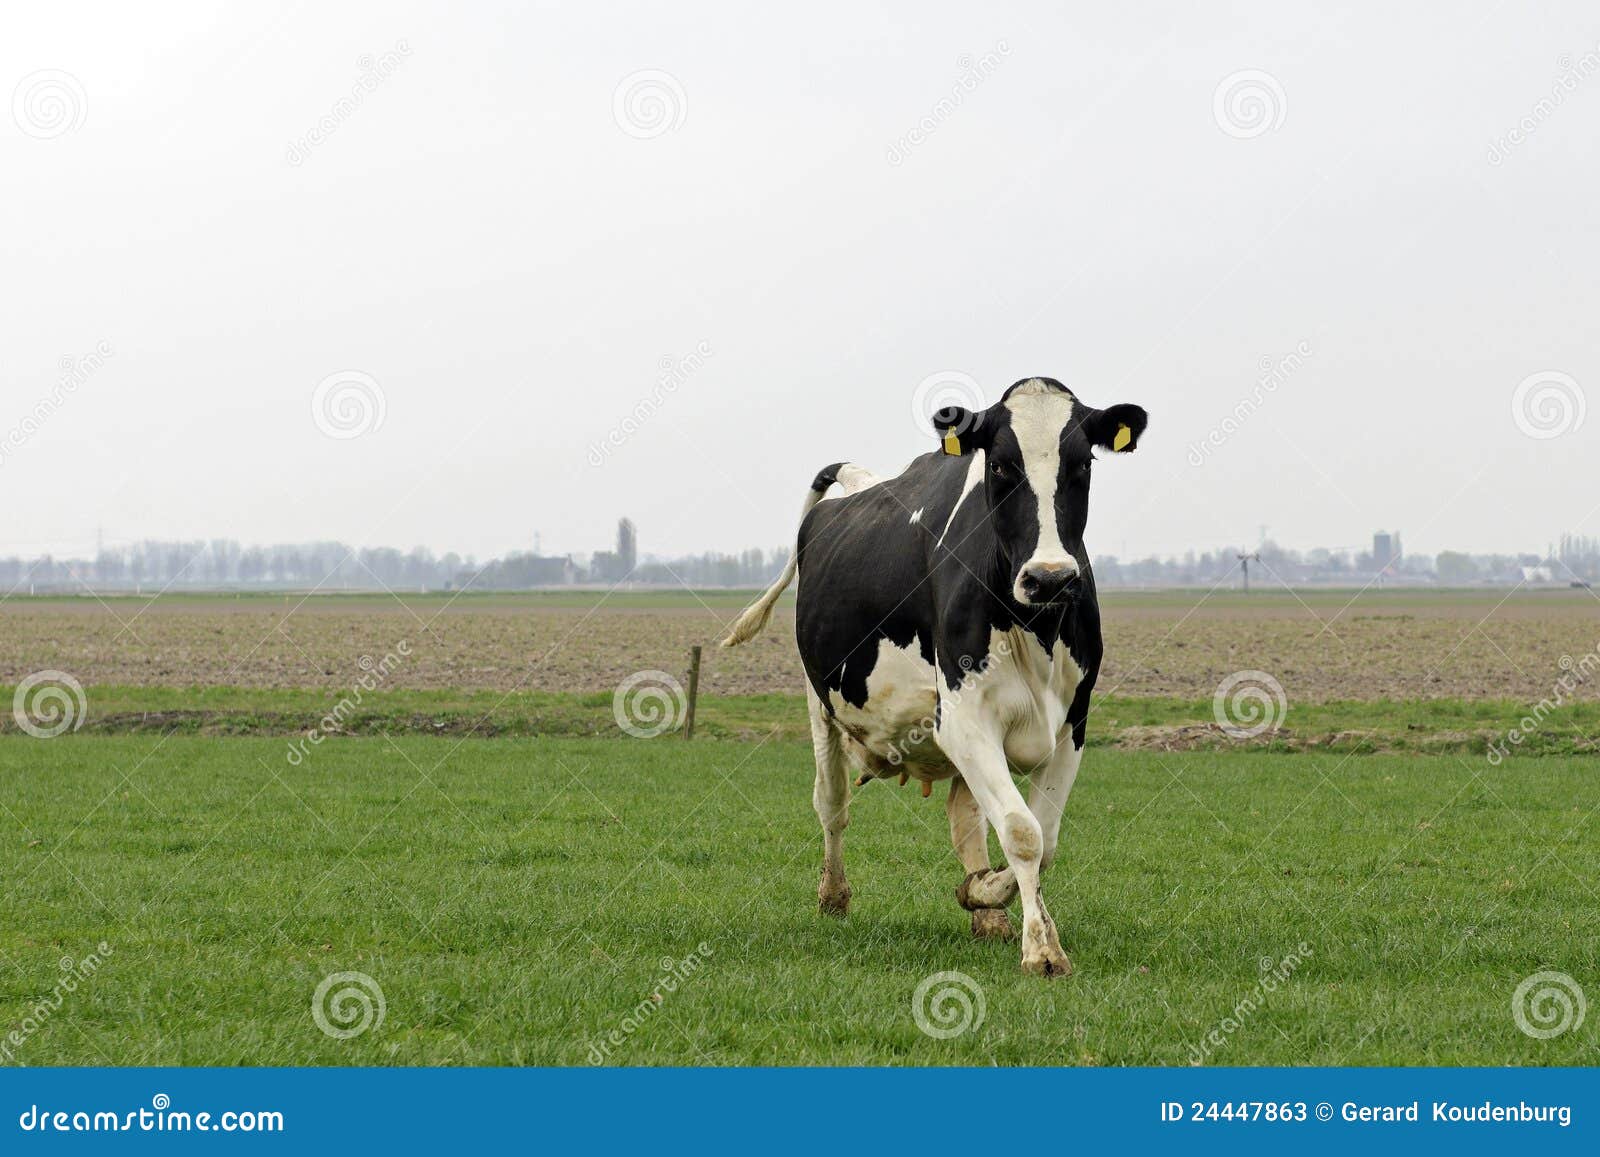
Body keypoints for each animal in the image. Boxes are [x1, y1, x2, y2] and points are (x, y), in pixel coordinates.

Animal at [720, 377, 1147, 976]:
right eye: (1000, 465)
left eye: (1082, 462)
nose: (1049, 579)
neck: (1034, 624)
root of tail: (859, 483)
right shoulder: (963, 717)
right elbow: (1023, 832)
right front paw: (1040, 948)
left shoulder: (1073, 723)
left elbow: (1044, 837)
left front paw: (987, 894)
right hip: (820, 706)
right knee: (832, 805)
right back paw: (833, 895)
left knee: (964, 817)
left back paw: (986, 913)